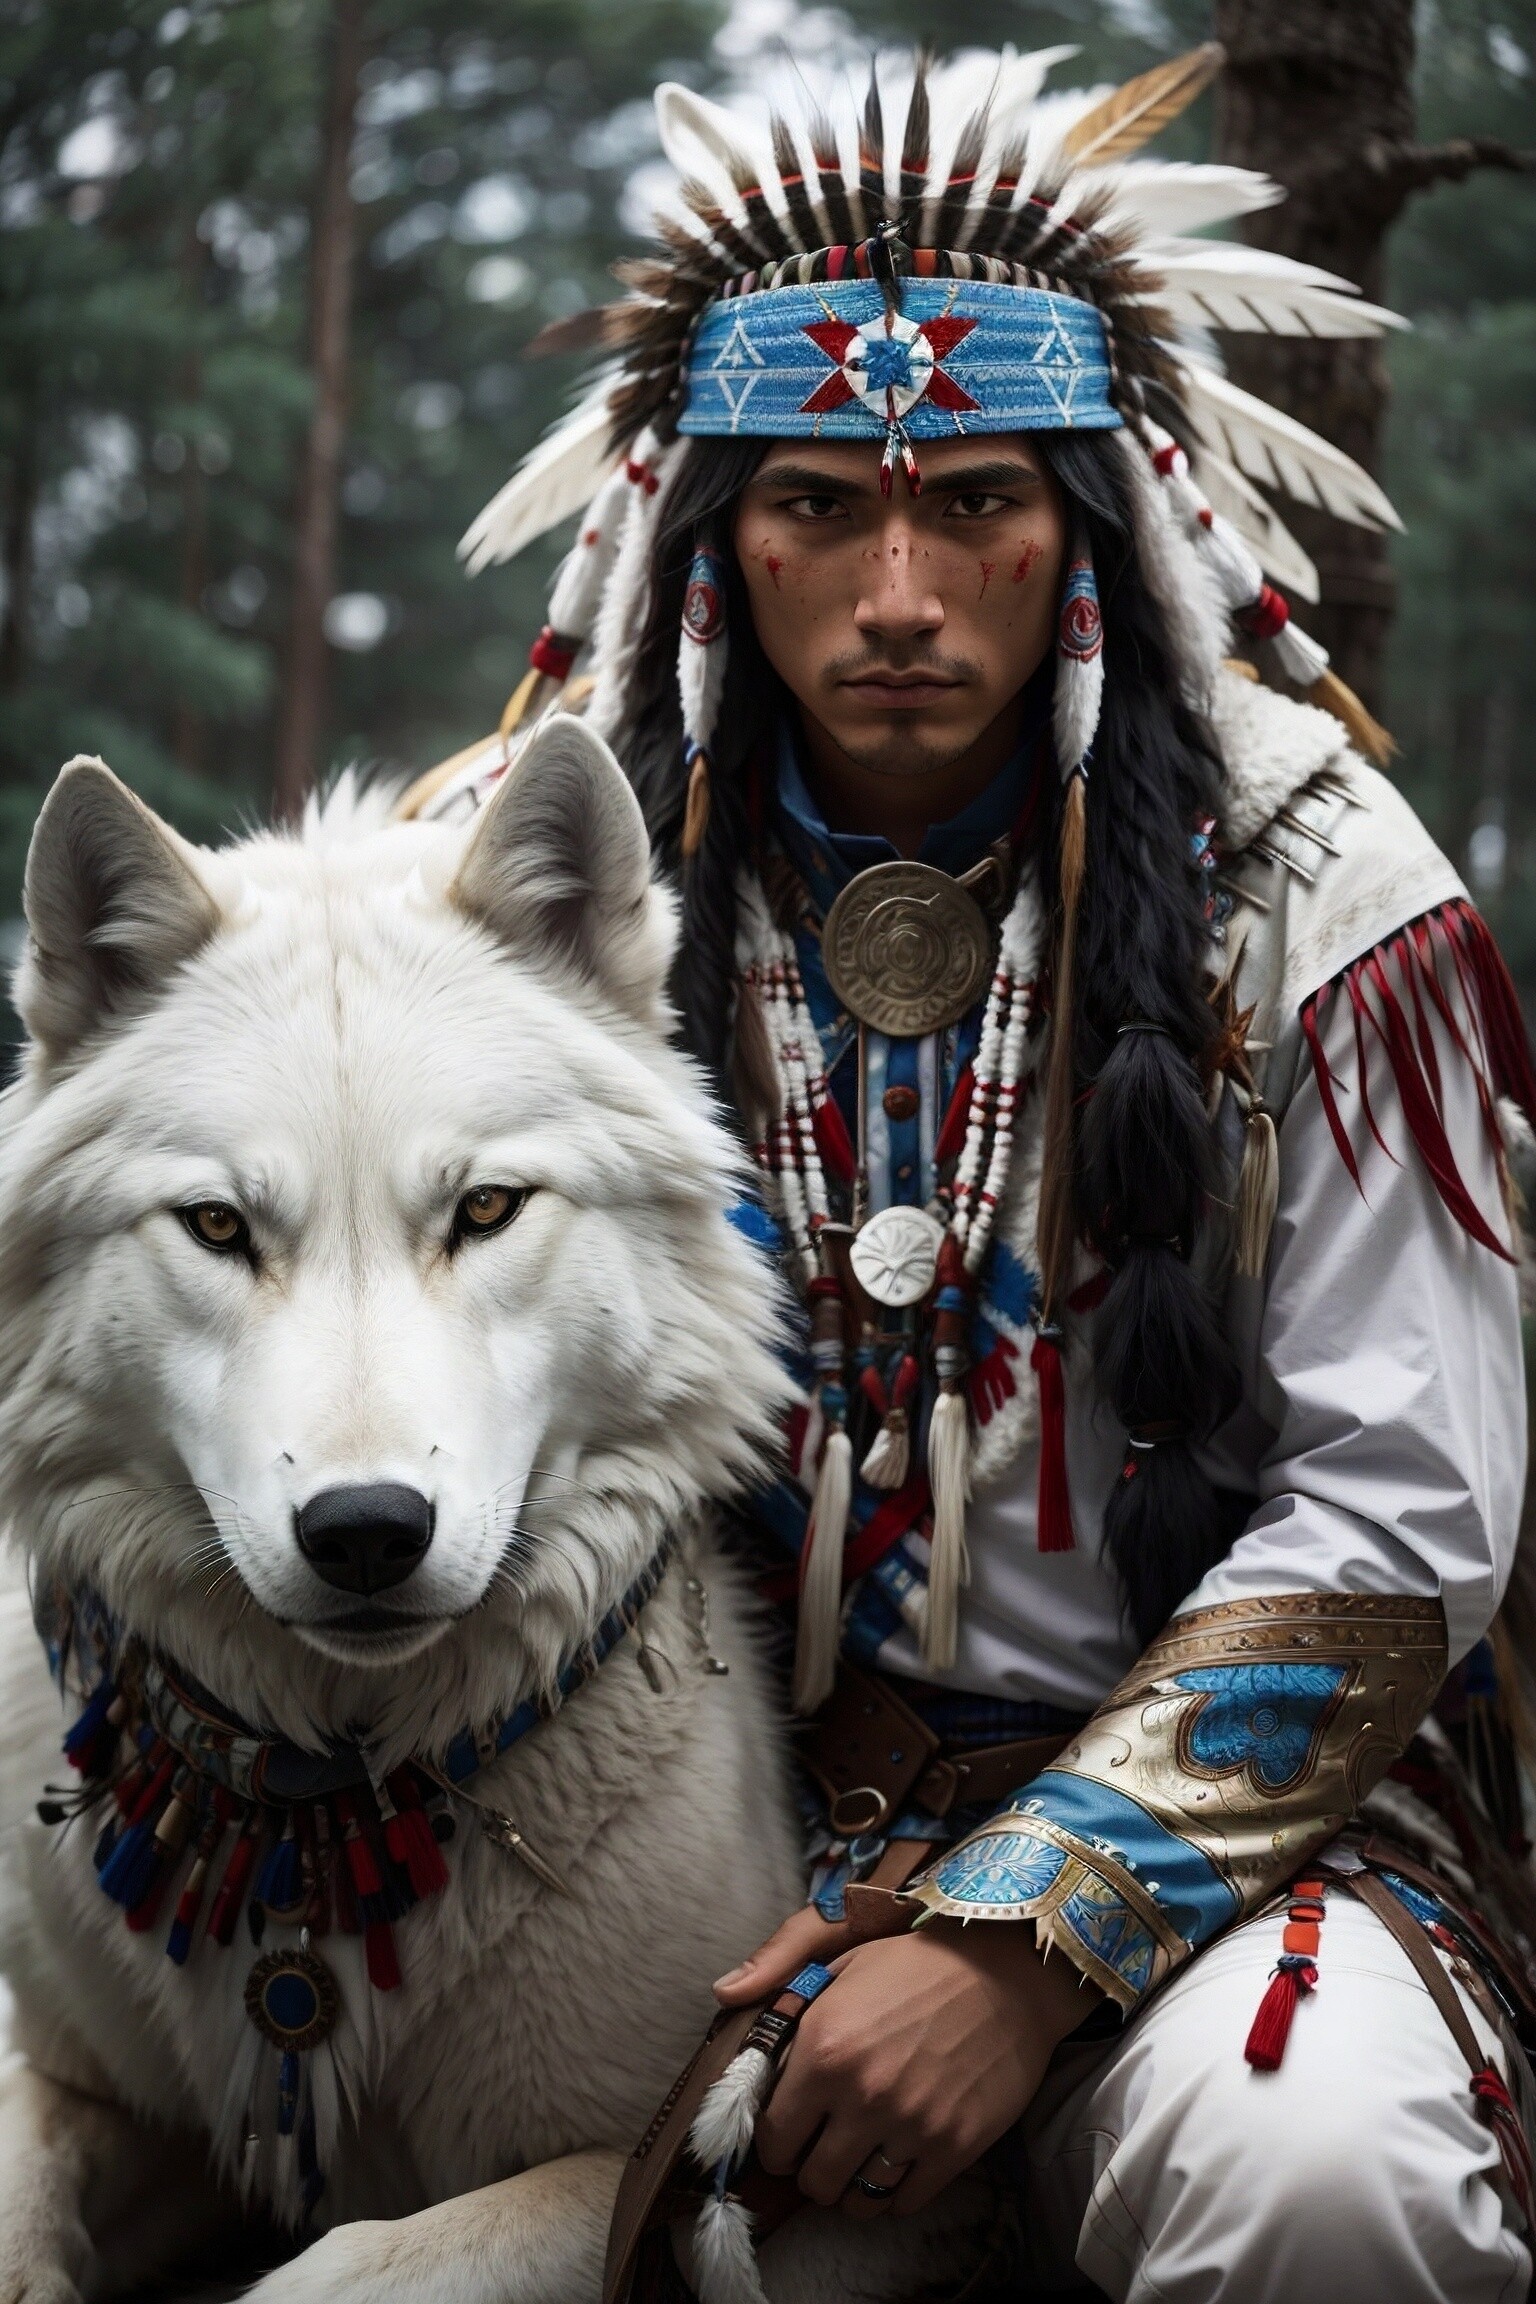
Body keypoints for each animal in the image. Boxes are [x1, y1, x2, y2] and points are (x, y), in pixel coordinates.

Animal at [0, 722, 983, 2303]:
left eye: (484, 1210)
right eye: (217, 1228)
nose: (364, 1532)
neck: (325, 1808)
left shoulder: (756, 2188)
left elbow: (348, 2266)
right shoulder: (88, 2091)